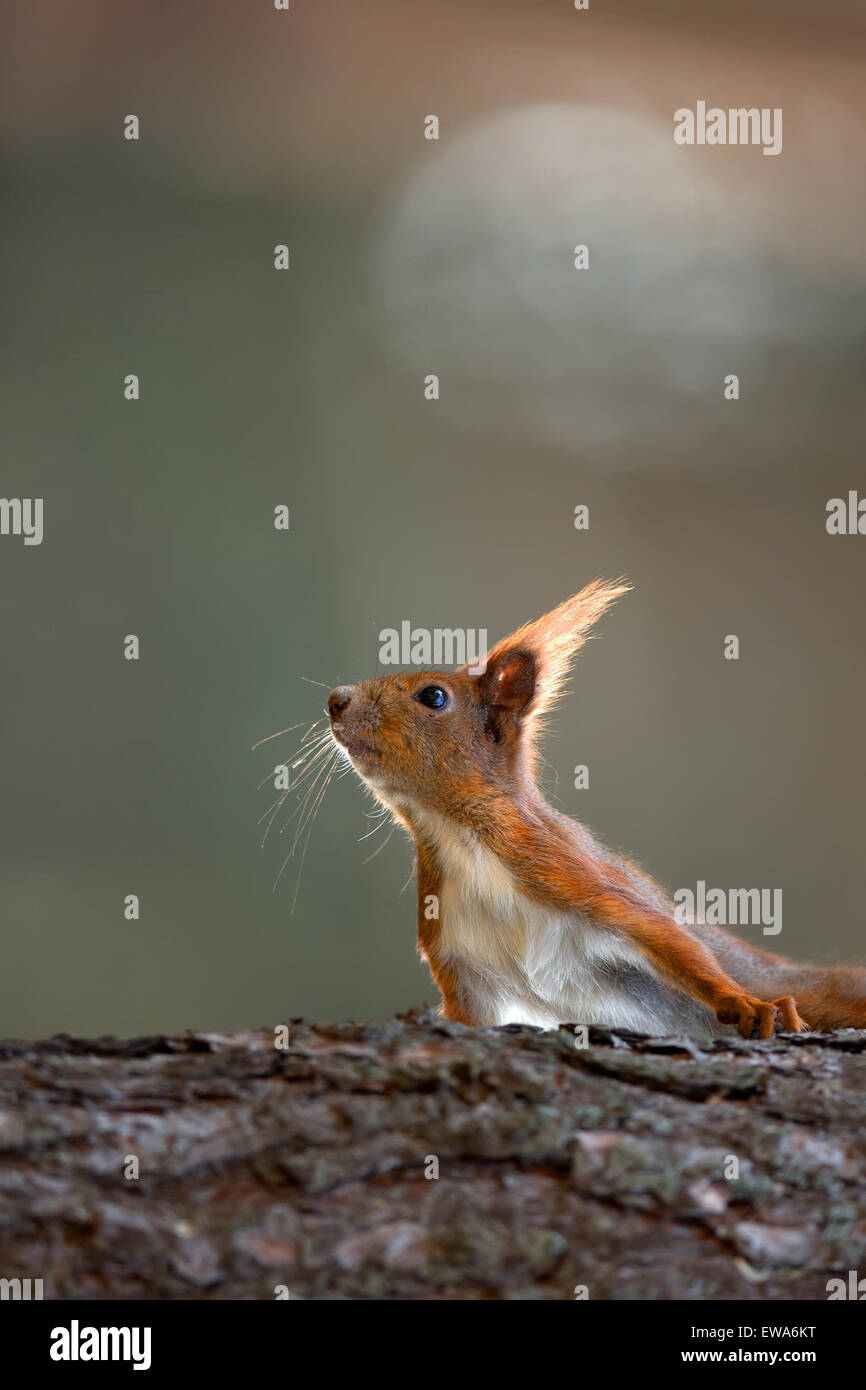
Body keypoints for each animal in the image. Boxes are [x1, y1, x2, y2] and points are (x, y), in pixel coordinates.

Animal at [327, 580, 866, 1039]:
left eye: (433, 696)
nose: (336, 699)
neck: (453, 833)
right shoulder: (461, 968)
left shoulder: (571, 870)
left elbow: (673, 940)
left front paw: (746, 1003)